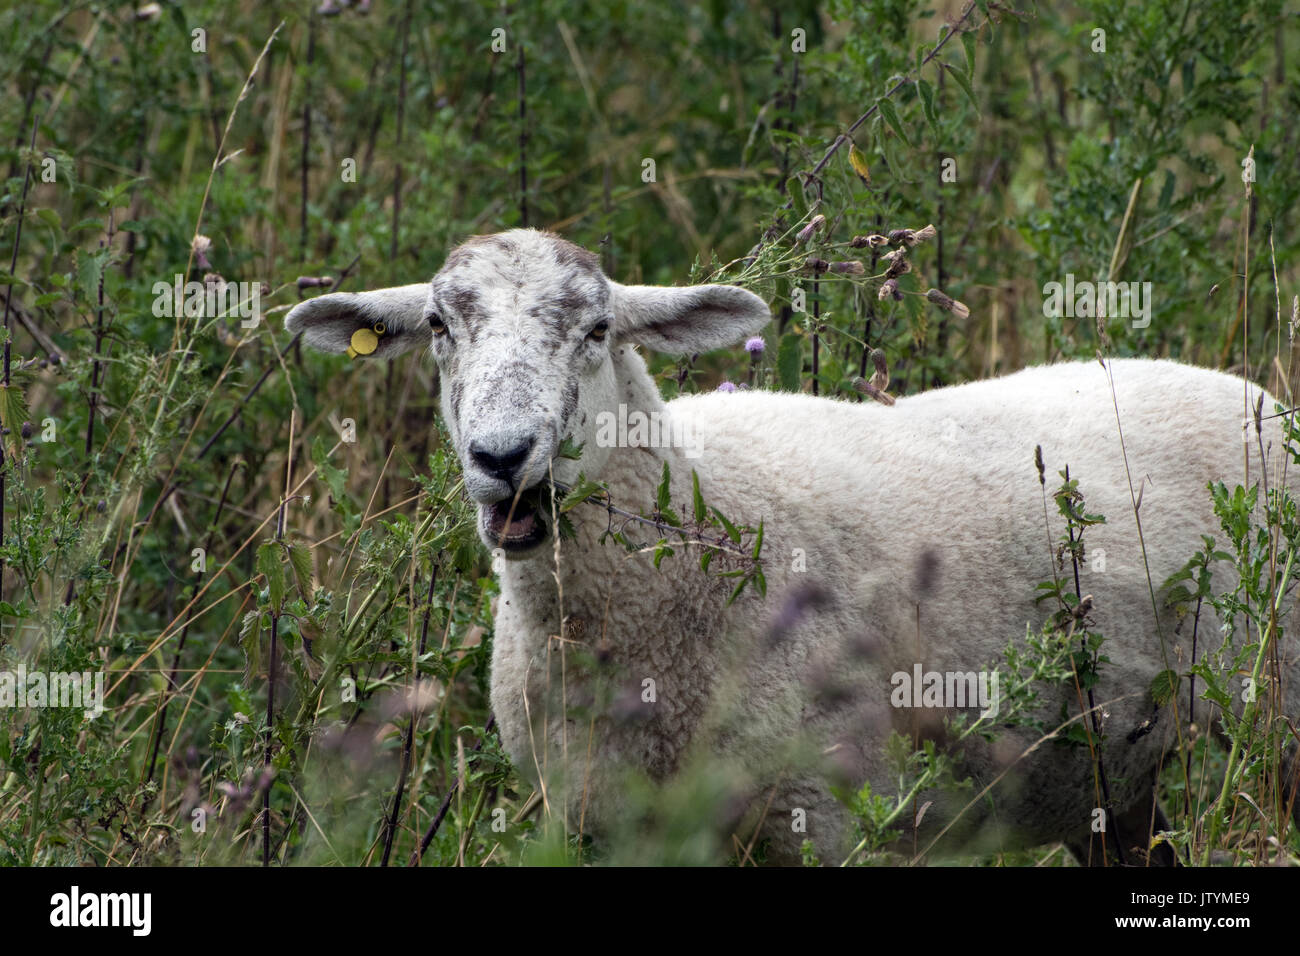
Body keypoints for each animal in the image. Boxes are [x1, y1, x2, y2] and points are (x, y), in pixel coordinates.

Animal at [286, 228, 1300, 865]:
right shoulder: (595, 820)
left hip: (1274, 723)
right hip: (1117, 788)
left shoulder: (821, 813)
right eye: (441, 329)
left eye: (598, 329)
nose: (504, 459)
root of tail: (1258, 398)